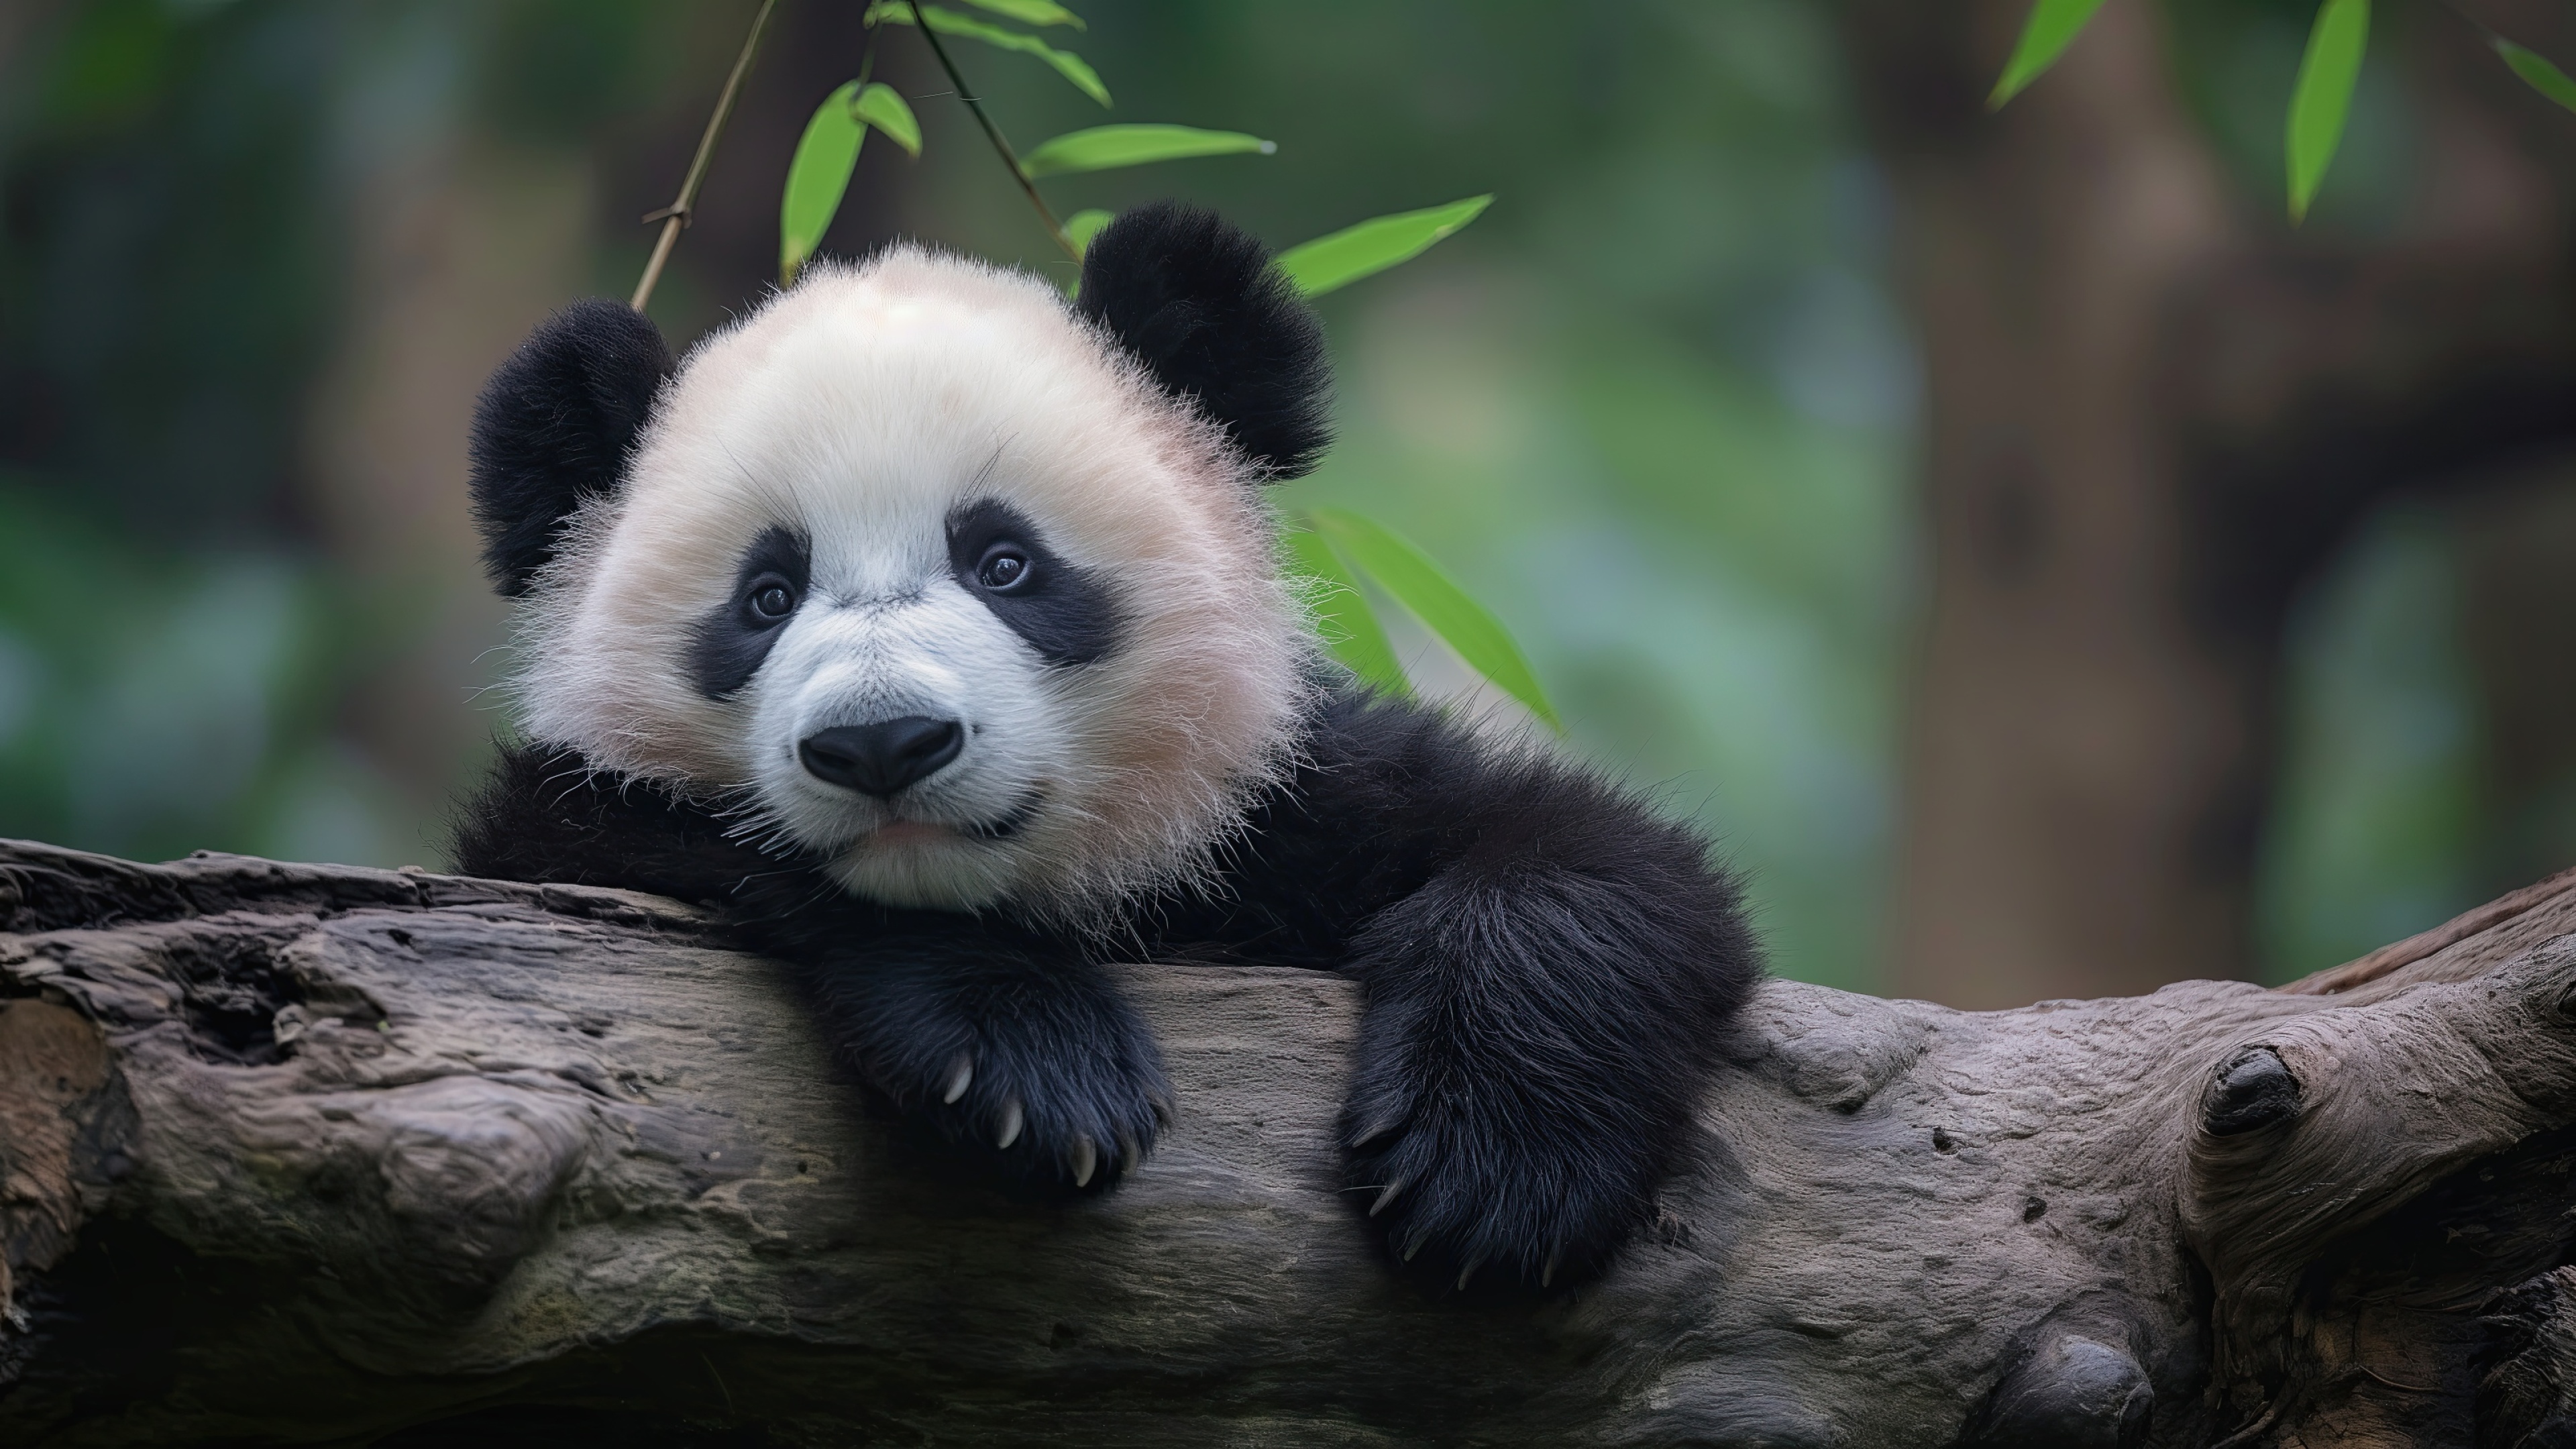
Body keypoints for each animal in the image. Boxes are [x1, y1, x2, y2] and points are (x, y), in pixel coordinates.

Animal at [451, 203, 1759, 1292]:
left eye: (1005, 563)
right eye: (766, 598)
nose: (883, 744)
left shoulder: (1283, 805)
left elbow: (1596, 860)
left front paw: (1492, 1166)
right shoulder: (556, 833)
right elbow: (653, 839)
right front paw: (1030, 1062)